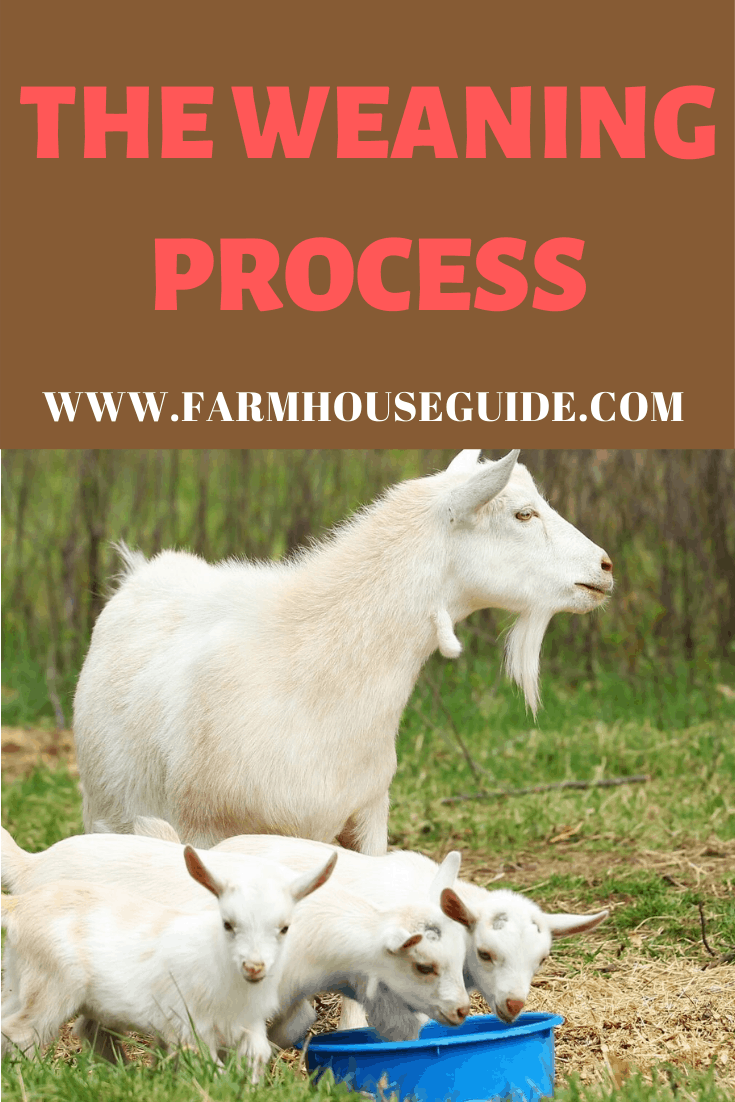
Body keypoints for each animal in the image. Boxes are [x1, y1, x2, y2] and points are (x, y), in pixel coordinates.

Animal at [0, 840, 334, 1079]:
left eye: (284, 927)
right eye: (228, 923)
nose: (254, 967)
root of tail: (18, 905)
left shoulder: (248, 1025)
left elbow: (256, 1056)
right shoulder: (190, 1026)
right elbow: (208, 1065)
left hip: (22, 982)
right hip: (51, 990)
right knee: (19, 1033)